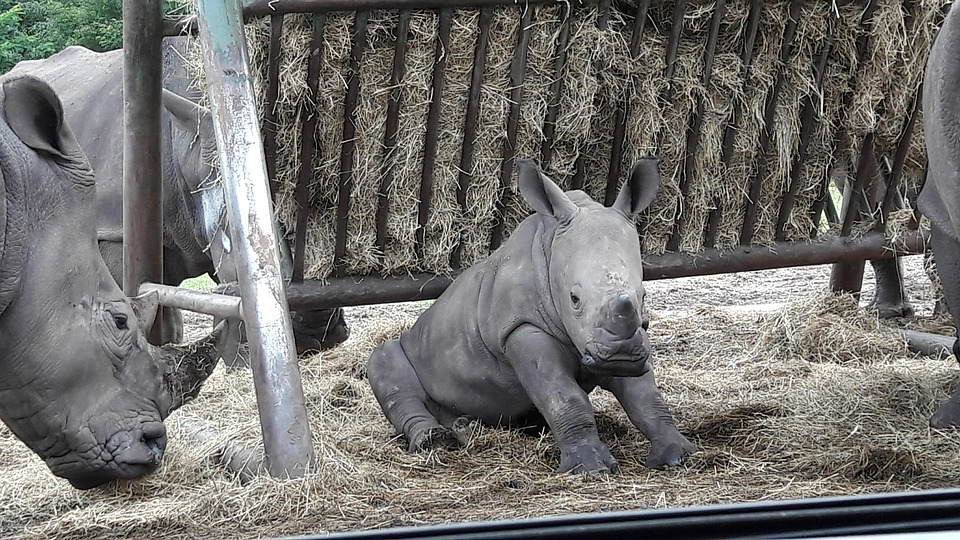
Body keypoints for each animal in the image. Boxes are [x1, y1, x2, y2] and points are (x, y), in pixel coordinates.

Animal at [367, 158, 696, 473]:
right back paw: (434, 440)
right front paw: (591, 469)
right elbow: (562, 396)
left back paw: (468, 426)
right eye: (574, 298)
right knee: (385, 364)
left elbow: (646, 397)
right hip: (412, 345)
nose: (621, 356)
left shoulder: (629, 338)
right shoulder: (520, 328)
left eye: (644, 296)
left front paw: (677, 456)